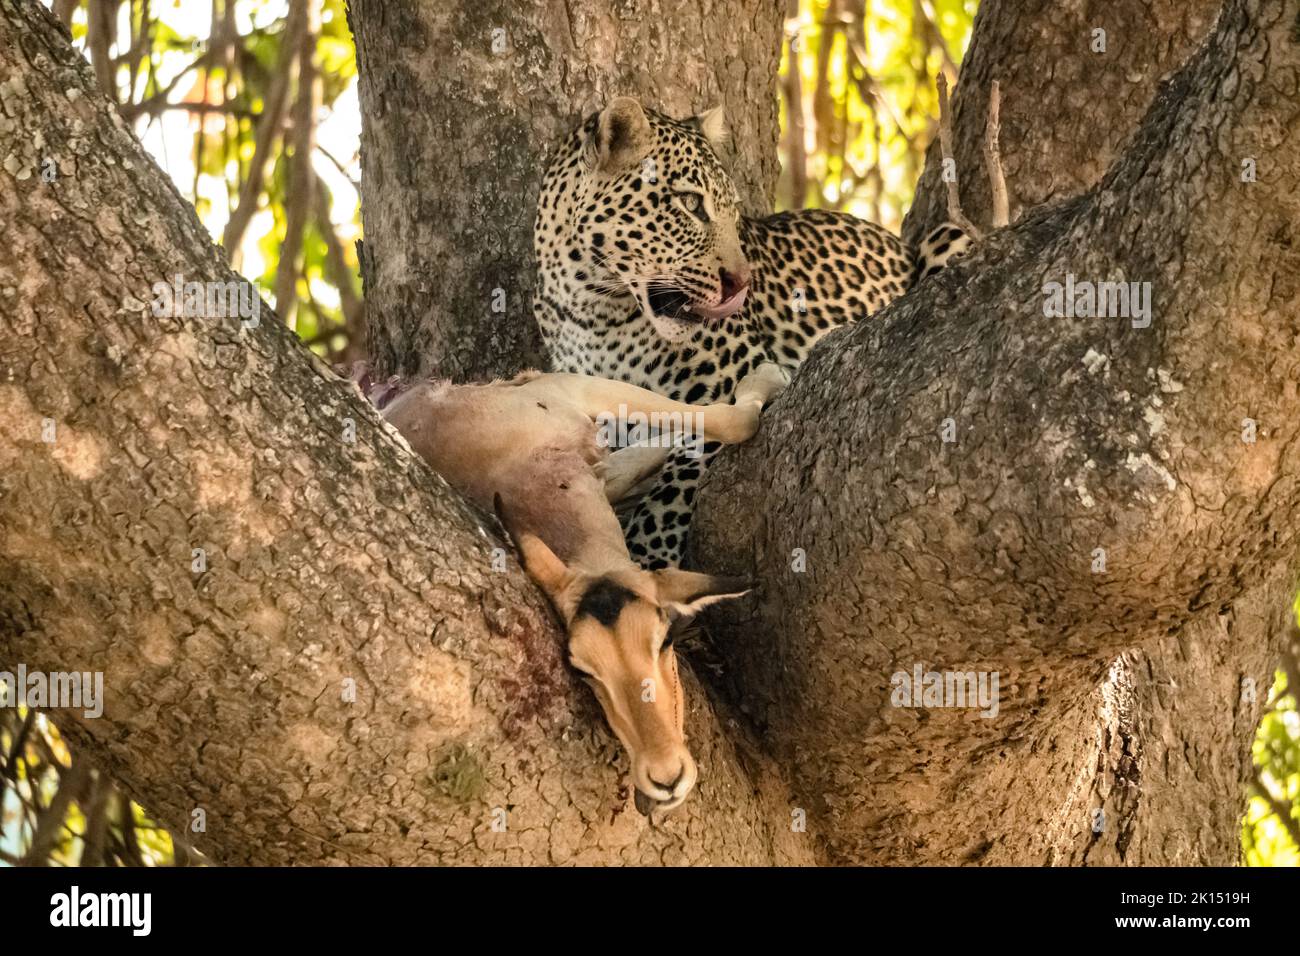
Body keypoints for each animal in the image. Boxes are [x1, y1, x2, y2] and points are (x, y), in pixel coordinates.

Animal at [349, 362, 787, 815]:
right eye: (582, 668)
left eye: (664, 639)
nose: (665, 778)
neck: (514, 462)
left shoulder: (576, 391)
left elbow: (726, 422)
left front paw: (771, 375)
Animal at [533, 96, 968, 569]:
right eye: (690, 203)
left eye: (733, 212)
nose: (740, 283)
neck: (593, 309)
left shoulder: (730, 385)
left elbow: (680, 474)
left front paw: (648, 555)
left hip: (949, 234)